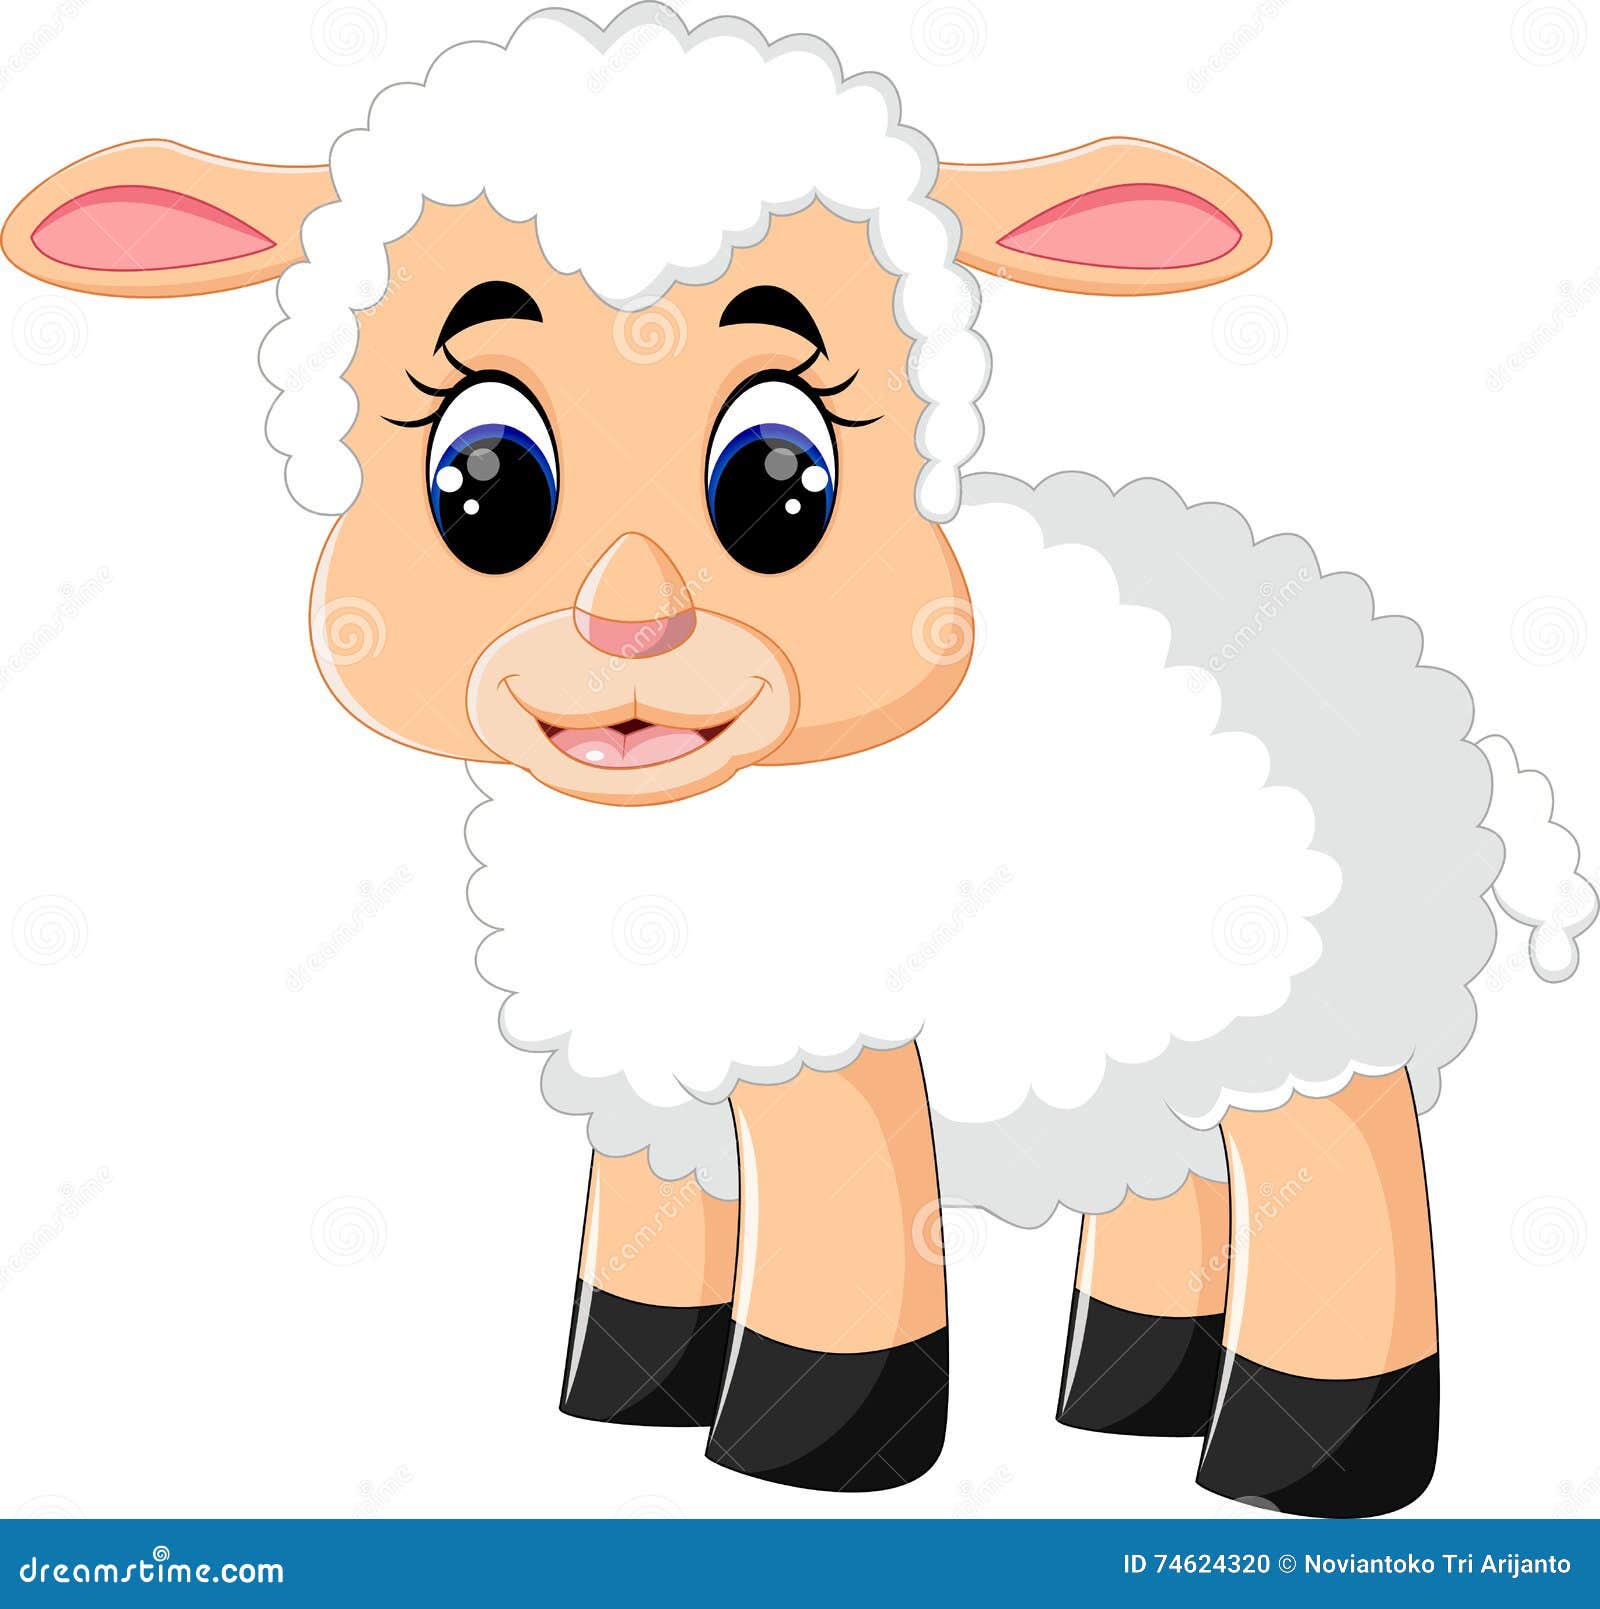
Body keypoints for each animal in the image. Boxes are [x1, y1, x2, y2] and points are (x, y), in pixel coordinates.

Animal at [4, 4, 1592, 1517]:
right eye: (480, 481)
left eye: (783, 481)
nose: (628, 629)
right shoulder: (652, 1032)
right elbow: (656, 1211)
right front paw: (625, 1400)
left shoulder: (830, 1017)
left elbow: (836, 1224)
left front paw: (804, 1447)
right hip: (1153, 1012)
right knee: (1168, 1169)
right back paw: (1121, 1403)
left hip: (1324, 1014)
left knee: (1336, 1176)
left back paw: (1299, 1461)